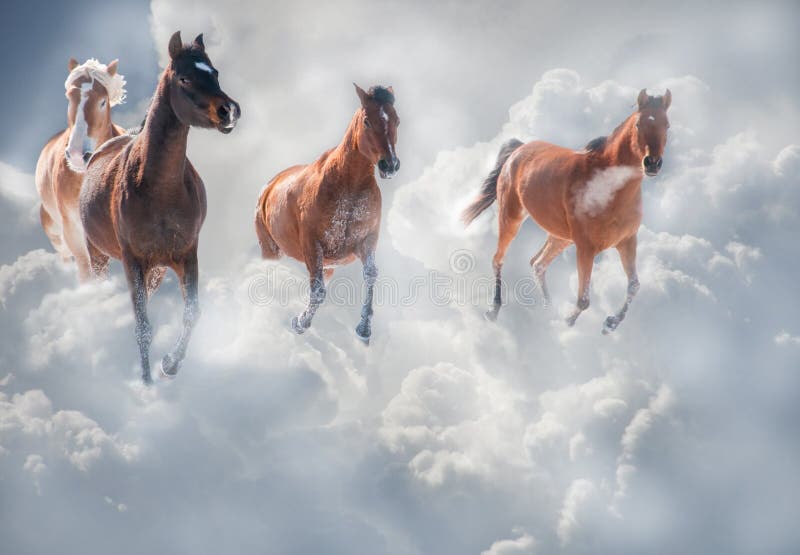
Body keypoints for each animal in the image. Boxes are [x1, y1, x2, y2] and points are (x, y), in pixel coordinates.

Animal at [80, 32, 240, 383]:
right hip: (101, 256)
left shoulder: (186, 254)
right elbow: (142, 325)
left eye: (214, 72)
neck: (159, 190)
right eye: (184, 78)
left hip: (156, 269)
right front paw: (146, 382)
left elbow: (192, 312)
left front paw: (169, 364)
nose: (229, 111)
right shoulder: (132, 260)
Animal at [255, 84, 400, 342]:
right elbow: (319, 291)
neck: (349, 188)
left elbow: (371, 274)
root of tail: (269, 186)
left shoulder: (366, 242)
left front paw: (364, 329)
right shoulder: (312, 246)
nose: (390, 165)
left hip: (329, 265)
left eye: (397, 120)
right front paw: (300, 323)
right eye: (367, 121)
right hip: (270, 249)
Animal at [462, 89, 671, 333]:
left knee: (538, 264)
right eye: (638, 124)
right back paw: (493, 311)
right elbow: (583, 300)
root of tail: (518, 150)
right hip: (511, 218)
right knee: (499, 259)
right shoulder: (586, 247)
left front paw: (610, 323)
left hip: (561, 237)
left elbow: (634, 286)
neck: (608, 187)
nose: (652, 163)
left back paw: (549, 311)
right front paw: (567, 321)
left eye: (667, 125)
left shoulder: (627, 241)